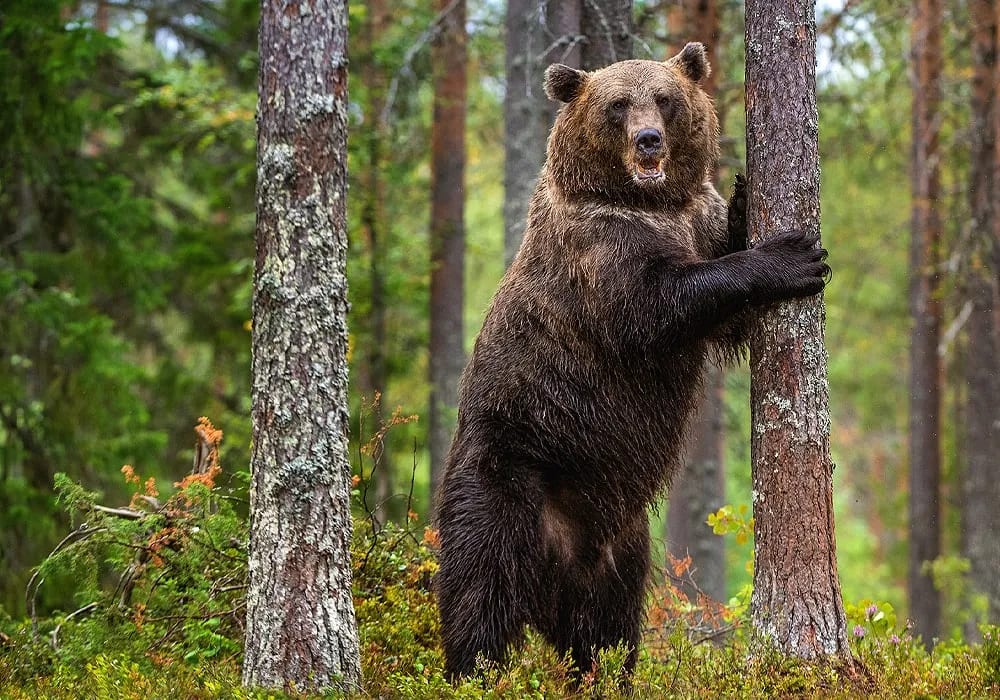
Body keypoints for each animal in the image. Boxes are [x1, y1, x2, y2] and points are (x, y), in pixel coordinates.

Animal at [434, 42, 829, 681]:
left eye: (664, 99)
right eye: (618, 104)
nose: (648, 140)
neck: (646, 199)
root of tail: (558, 561)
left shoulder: (691, 216)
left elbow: (727, 312)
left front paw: (746, 200)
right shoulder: (598, 248)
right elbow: (657, 303)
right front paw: (790, 257)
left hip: (622, 543)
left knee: (608, 627)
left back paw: (604, 669)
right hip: (504, 476)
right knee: (480, 591)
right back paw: (474, 671)